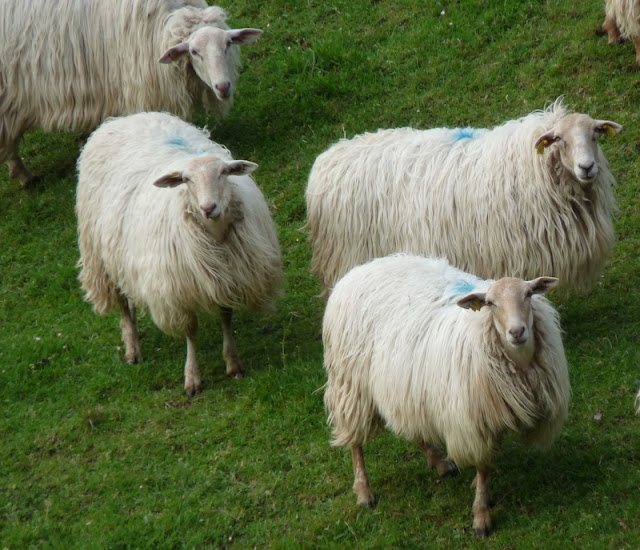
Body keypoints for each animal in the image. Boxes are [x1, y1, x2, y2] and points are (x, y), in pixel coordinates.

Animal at [76, 111, 283, 396]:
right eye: (186, 180)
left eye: (224, 173)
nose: (208, 208)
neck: (215, 235)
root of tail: (125, 117)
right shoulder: (178, 289)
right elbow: (191, 329)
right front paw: (192, 377)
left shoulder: (227, 276)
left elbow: (226, 316)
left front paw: (233, 363)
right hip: (100, 256)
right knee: (122, 304)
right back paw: (132, 348)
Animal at [322, 254, 570, 536]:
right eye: (490, 303)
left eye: (529, 294)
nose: (517, 332)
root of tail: (360, 269)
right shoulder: (475, 420)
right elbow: (484, 466)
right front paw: (481, 516)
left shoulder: (491, 410)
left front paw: (481, 493)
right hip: (350, 382)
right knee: (355, 440)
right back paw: (364, 491)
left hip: (405, 385)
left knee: (412, 424)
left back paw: (438, 461)